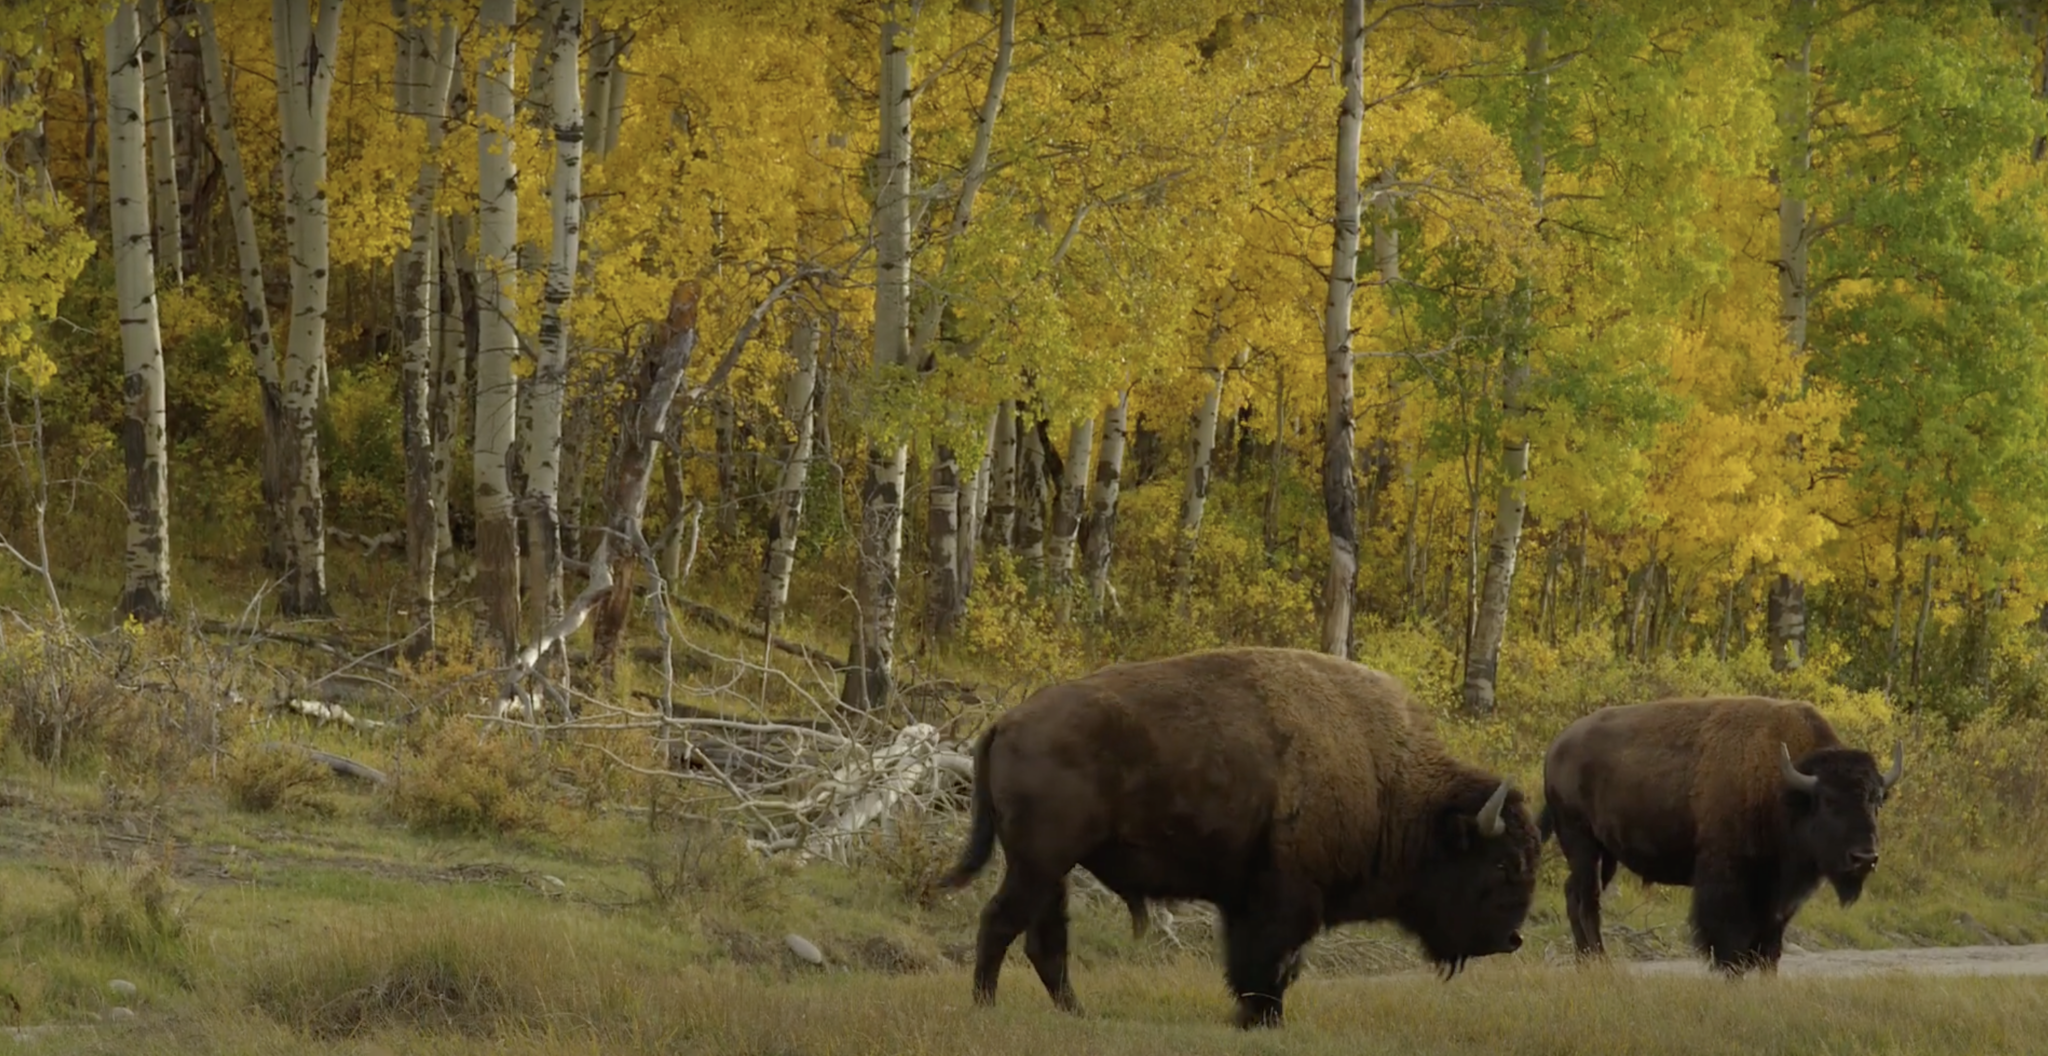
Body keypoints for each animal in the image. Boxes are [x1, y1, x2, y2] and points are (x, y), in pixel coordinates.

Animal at [937, 646, 1539, 1028]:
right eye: (1502, 863)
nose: (1512, 939)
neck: (1389, 779)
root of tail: (1006, 721)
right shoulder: (1286, 899)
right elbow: (1271, 962)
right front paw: (1263, 1018)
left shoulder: (1248, 900)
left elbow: (1257, 962)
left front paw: (1253, 1015)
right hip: (1038, 863)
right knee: (1000, 923)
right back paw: (985, 1007)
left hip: (1052, 870)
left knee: (1044, 941)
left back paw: (1077, 1014)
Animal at [1539, 696, 1903, 973]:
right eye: (1828, 801)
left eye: (1876, 800)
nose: (1864, 857)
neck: (1786, 789)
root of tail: (1556, 747)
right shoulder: (1727, 881)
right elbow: (1729, 937)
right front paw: (1731, 972)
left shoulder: (1778, 895)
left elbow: (1770, 943)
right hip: (1581, 843)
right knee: (1587, 901)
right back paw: (1600, 962)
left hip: (1605, 854)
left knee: (1574, 894)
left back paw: (1587, 962)